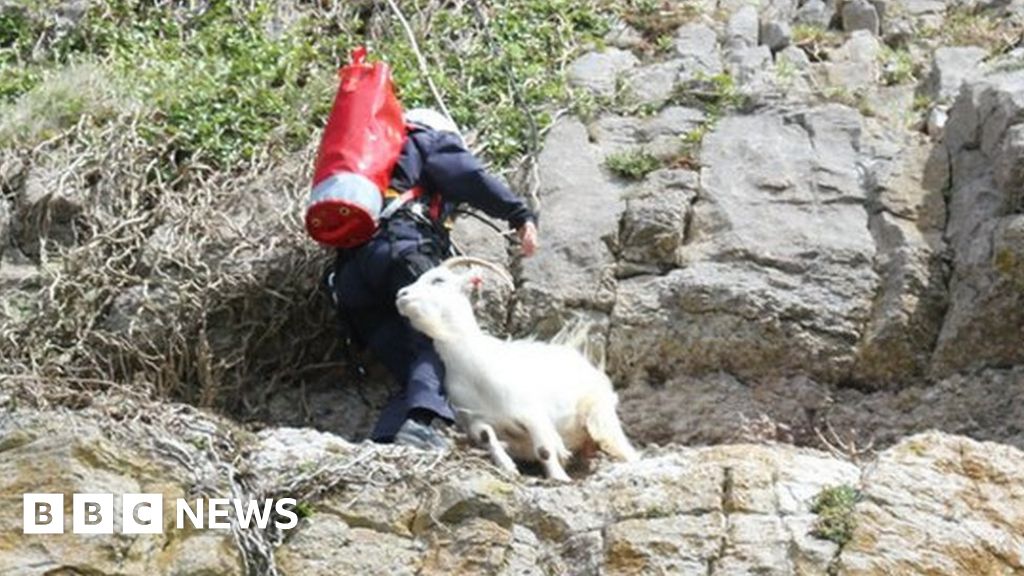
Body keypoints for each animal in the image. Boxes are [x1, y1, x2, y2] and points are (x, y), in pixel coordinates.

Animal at [395, 257, 638, 481]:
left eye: (438, 280)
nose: (401, 295)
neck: (473, 367)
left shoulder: (532, 413)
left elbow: (544, 449)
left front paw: (559, 477)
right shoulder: (475, 419)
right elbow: (487, 436)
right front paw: (508, 466)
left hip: (598, 415)